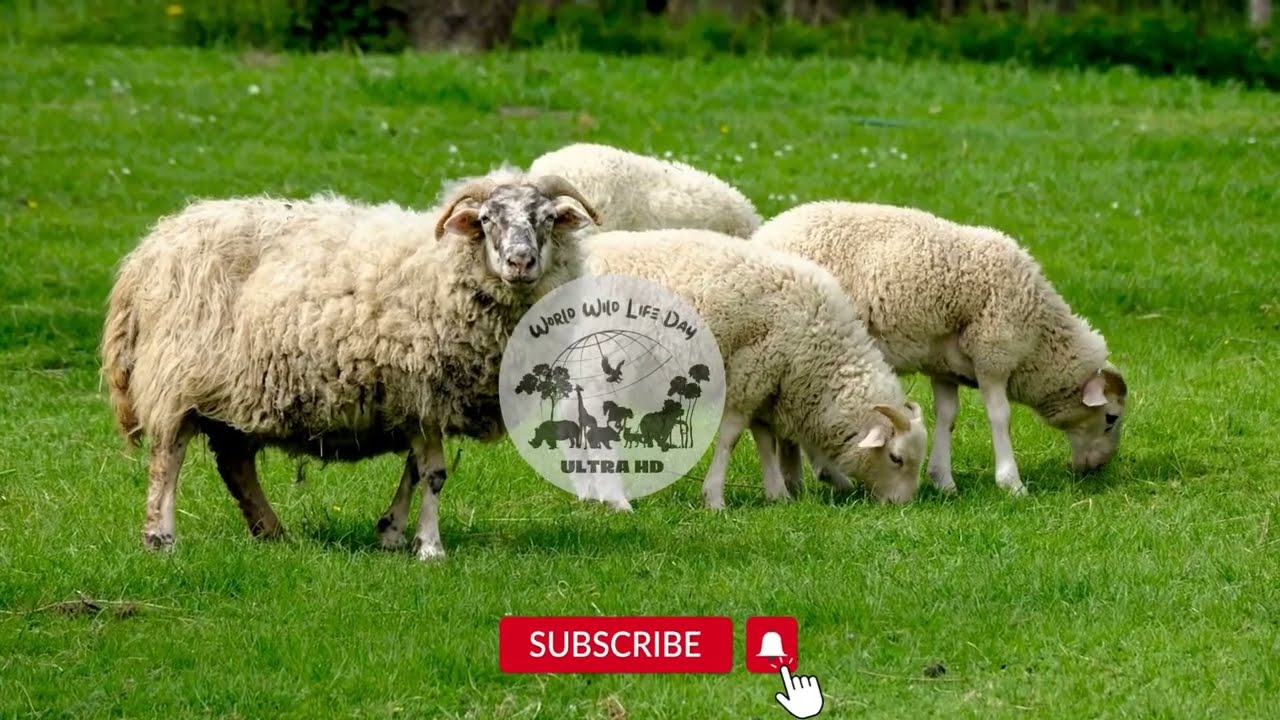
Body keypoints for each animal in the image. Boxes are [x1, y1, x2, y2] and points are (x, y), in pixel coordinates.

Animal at [100, 168, 601, 561]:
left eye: (547, 219)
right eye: (485, 220)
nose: (520, 262)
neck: (441, 266)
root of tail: (149, 250)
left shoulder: (414, 401)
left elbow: (415, 470)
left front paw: (392, 533)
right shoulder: (421, 387)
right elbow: (434, 474)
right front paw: (430, 547)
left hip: (236, 390)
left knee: (235, 462)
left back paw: (272, 532)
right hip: (178, 373)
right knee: (168, 455)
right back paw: (160, 537)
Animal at [581, 229, 928, 508]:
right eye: (896, 458)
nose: (902, 505)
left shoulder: (768, 383)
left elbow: (764, 436)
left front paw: (778, 494)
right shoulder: (752, 372)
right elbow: (731, 436)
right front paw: (714, 498)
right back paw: (613, 498)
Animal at [752, 201, 1129, 496]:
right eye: (1111, 418)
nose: (1097, 470)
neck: (1039, 340)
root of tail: (763, 234)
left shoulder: (944, 366)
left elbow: (947, 417)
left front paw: (943, 479)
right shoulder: (993, 354)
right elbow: (1000, 416)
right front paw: (1011, 482)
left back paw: (798, 481)